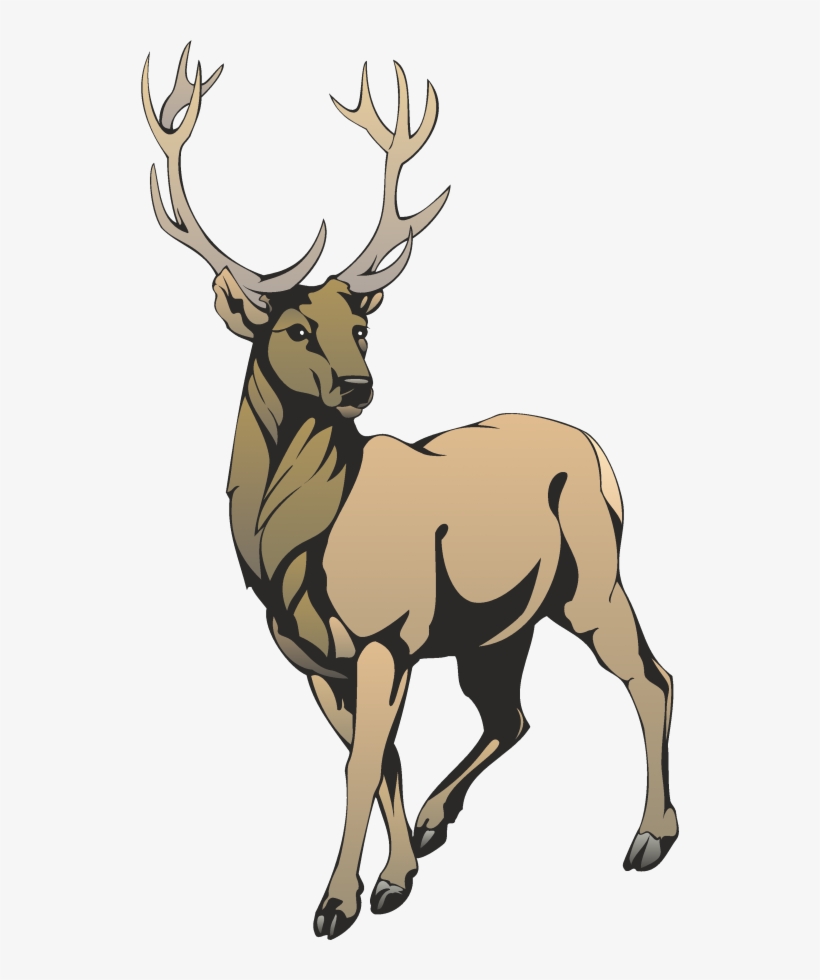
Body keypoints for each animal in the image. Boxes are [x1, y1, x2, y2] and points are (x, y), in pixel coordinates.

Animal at [142, 44, 678, 940]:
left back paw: (651, 837)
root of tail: (599, 453)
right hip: (495, 629)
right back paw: (435, 820)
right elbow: (380, 757)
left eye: (361, 328)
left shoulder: (384, 631)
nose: (359, 386)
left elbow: (361, 766)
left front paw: (335, 903)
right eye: (295, 328)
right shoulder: (311, 658)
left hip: (593, 579)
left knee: (649, 676)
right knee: (511, 716)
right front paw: (394, 880)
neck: (290, 553)